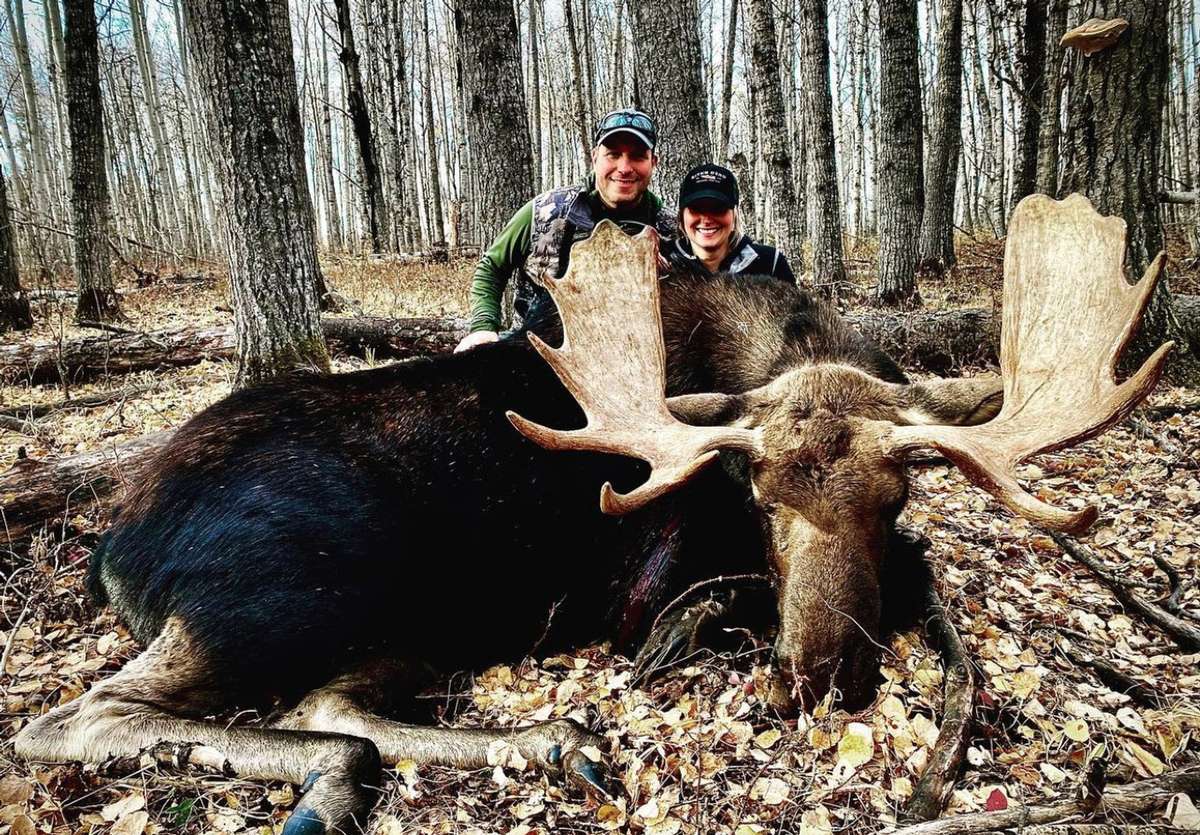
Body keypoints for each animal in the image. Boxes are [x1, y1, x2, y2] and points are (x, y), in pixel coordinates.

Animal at [12, 194, 1170, 835]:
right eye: (757, 494)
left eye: (898, 492)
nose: (821, 673)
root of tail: (114, 544)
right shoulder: (645, 581)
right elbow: (721, 599)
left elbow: (927, 580)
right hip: (290, 599)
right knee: (78, 715)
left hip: (407, 621)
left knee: (336, 710)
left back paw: (541, 742)